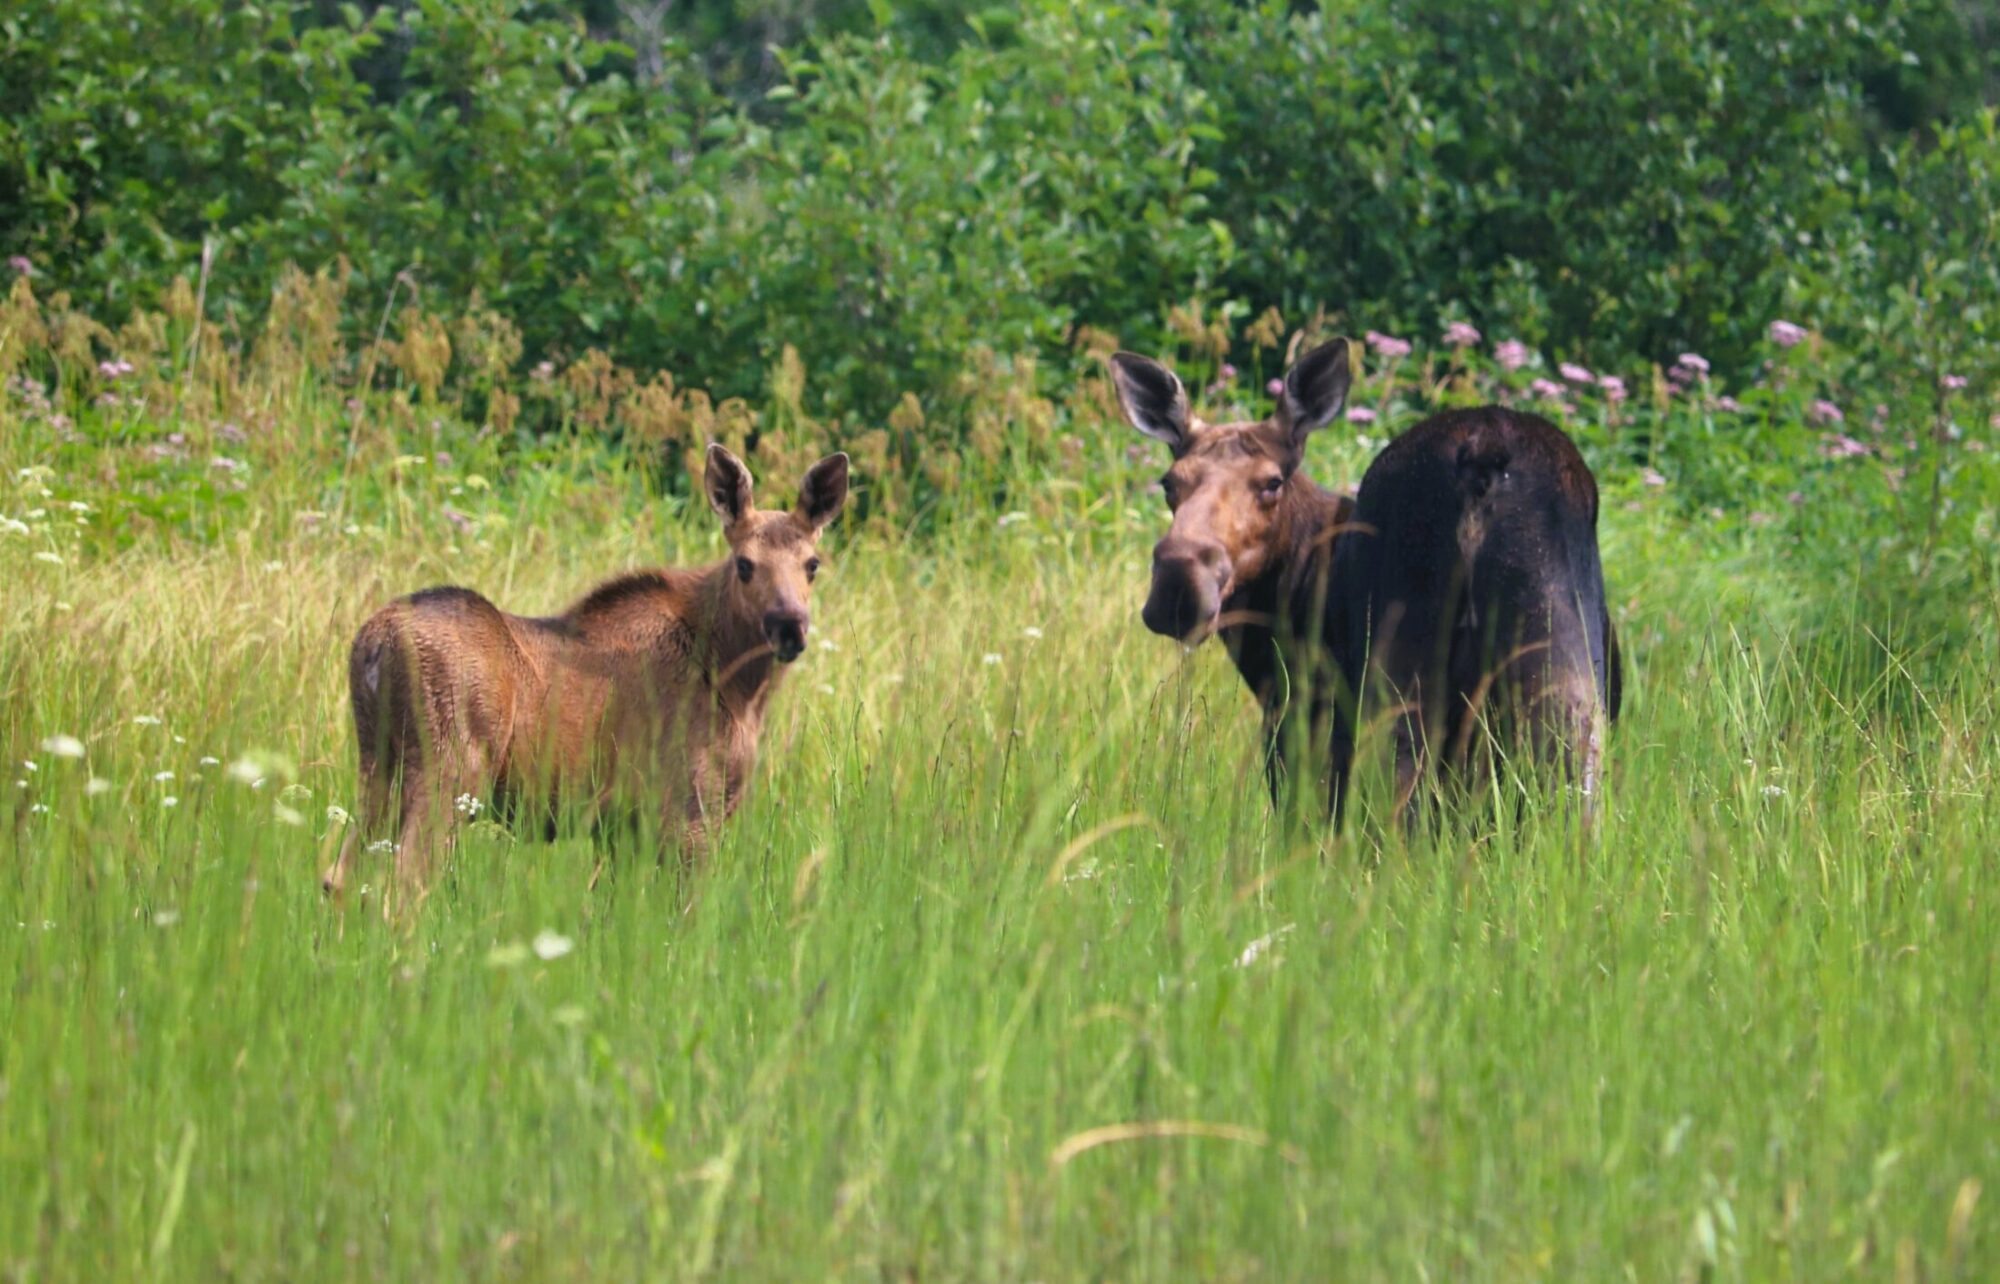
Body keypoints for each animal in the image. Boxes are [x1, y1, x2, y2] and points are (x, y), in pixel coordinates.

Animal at [323, 445, 849, 902]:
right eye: (744, 564)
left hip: (378, 767)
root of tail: (373, 643)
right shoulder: (688, 808)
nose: (789, 626)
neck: (741, 688)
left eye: (813, 564)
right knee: (403, 880)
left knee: (338, 877)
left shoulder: (620, 827)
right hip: (450, 767)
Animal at [1113, 338, 1619, 826]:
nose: (1179, 581)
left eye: (1272, 482)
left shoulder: (1299, 726)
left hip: (1394, 684)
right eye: (1168, 482)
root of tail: (1482, 454)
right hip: (1560, 677)